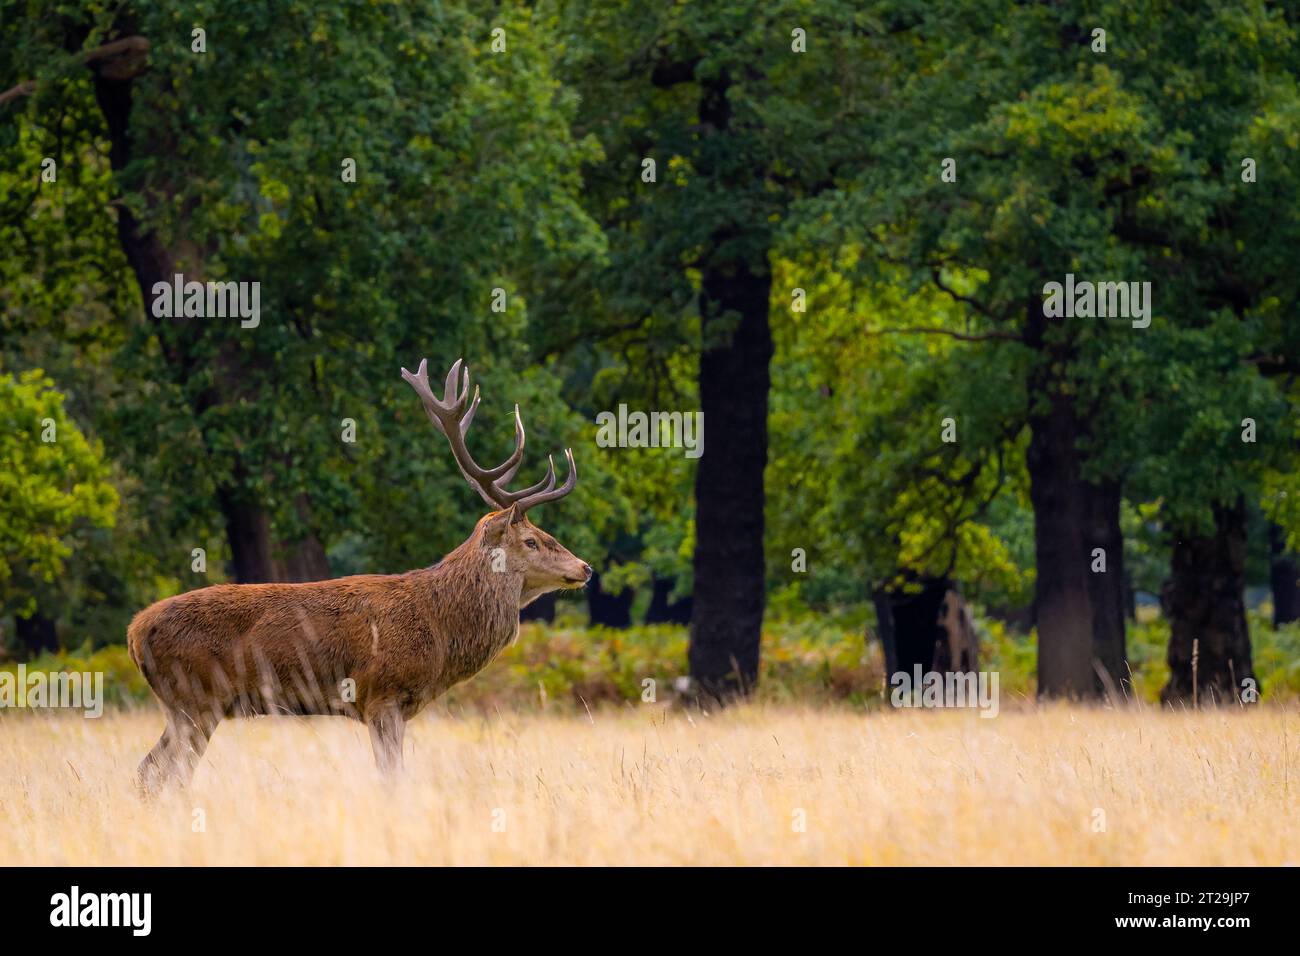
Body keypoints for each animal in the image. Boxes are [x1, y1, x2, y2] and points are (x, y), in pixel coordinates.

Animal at [128, 358, 592, 794]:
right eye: (532, 540)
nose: (585, 567)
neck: (440, 628)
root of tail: (134, 632)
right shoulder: (382, 694)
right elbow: (392, 777)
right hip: (195, 698)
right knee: (160, 773)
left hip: (186, 708)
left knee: (149, 771)